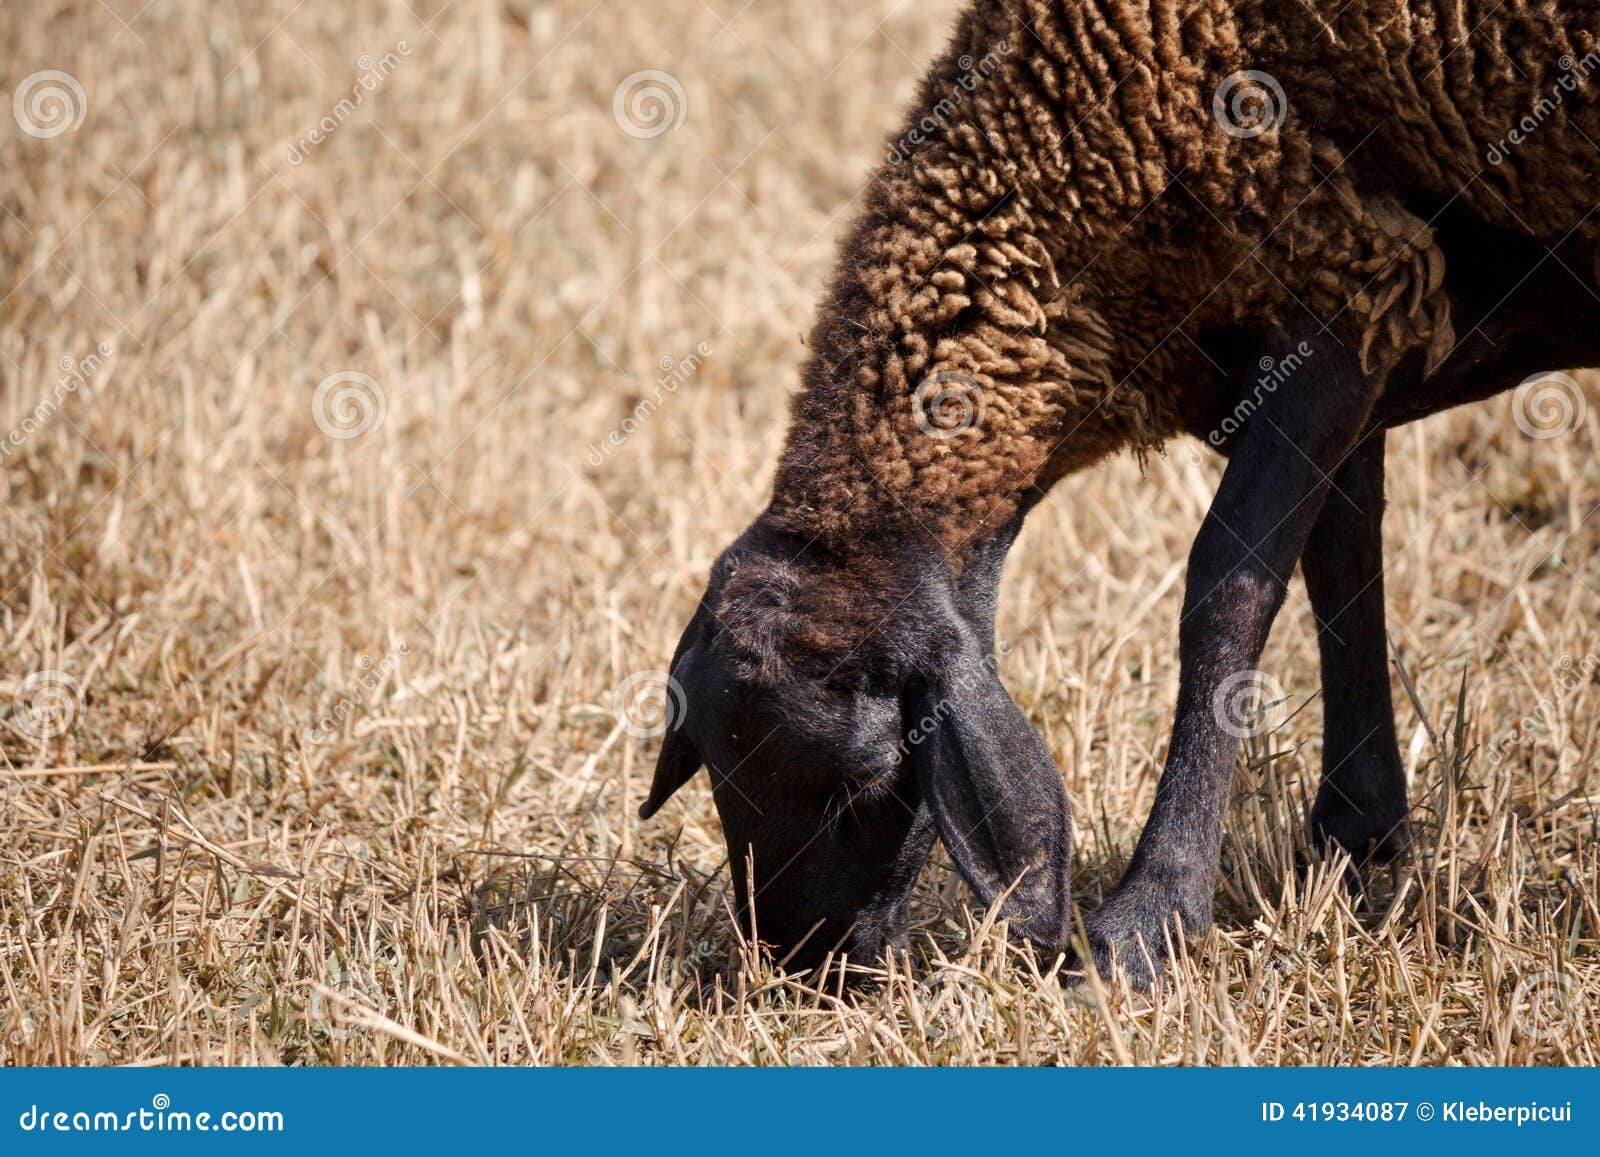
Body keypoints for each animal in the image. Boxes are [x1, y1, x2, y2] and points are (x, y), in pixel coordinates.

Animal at [638, 0, 1600, 986]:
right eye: (714, 772)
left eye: (867, 781)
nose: (806, 970)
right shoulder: (1365, 305)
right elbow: (1342, 564)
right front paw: (1356, 834)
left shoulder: (1341, 281)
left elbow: (1231, 589)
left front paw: (1147, 921)